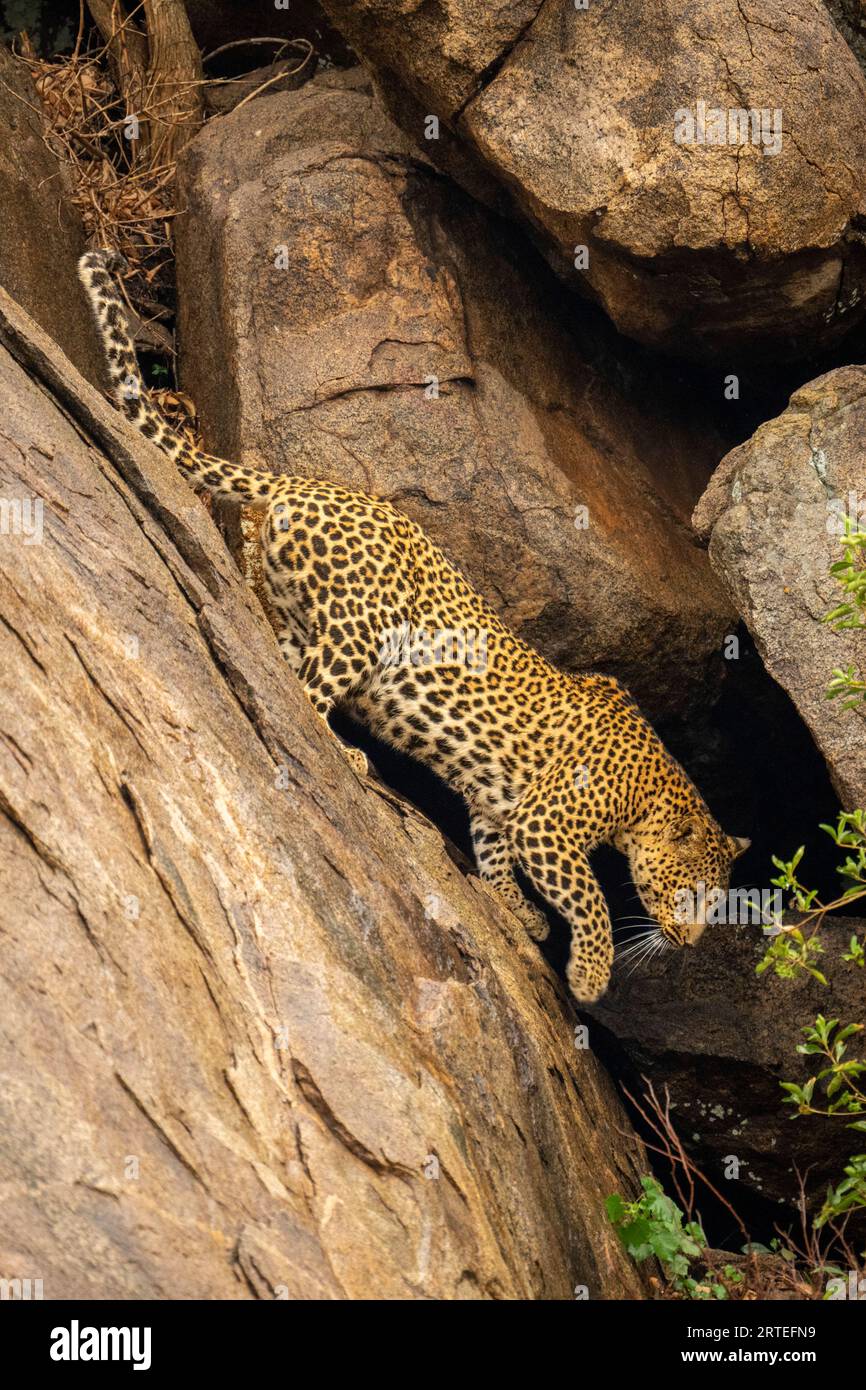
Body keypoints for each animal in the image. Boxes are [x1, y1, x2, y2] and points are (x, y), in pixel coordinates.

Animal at [78, 249, 750, 1004]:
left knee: (282, 666)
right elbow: (592, 898)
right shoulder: (548, 824)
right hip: (360, 630)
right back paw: (345, 756)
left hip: (300, 615)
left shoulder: (499, 810)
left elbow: (492, 858)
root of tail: (303, 484)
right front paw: (590, 972)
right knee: (305, 697)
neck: (650, 793)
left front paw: (519, 916)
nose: (688, 942)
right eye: (694, 895)